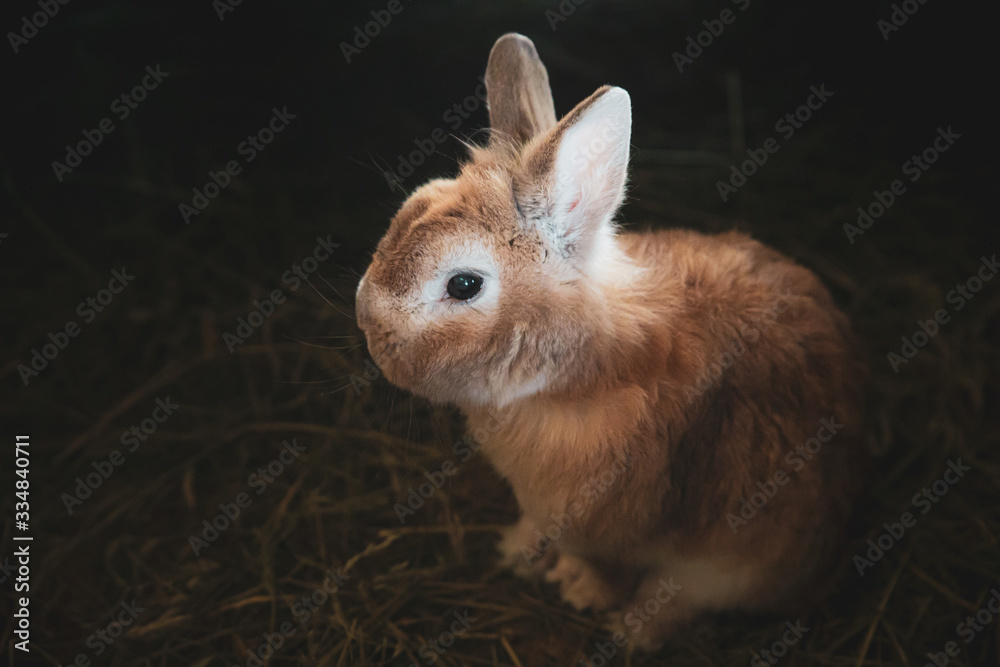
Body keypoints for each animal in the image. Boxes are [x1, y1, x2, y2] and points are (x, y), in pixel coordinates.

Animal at [355, 32, 869, 649]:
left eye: (464, 284)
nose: (368, 328)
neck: (579, 373)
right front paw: (518, 552)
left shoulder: (612, 526)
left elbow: (611, 569)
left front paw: (581, 592)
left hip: (746, 557)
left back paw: (632, 628)